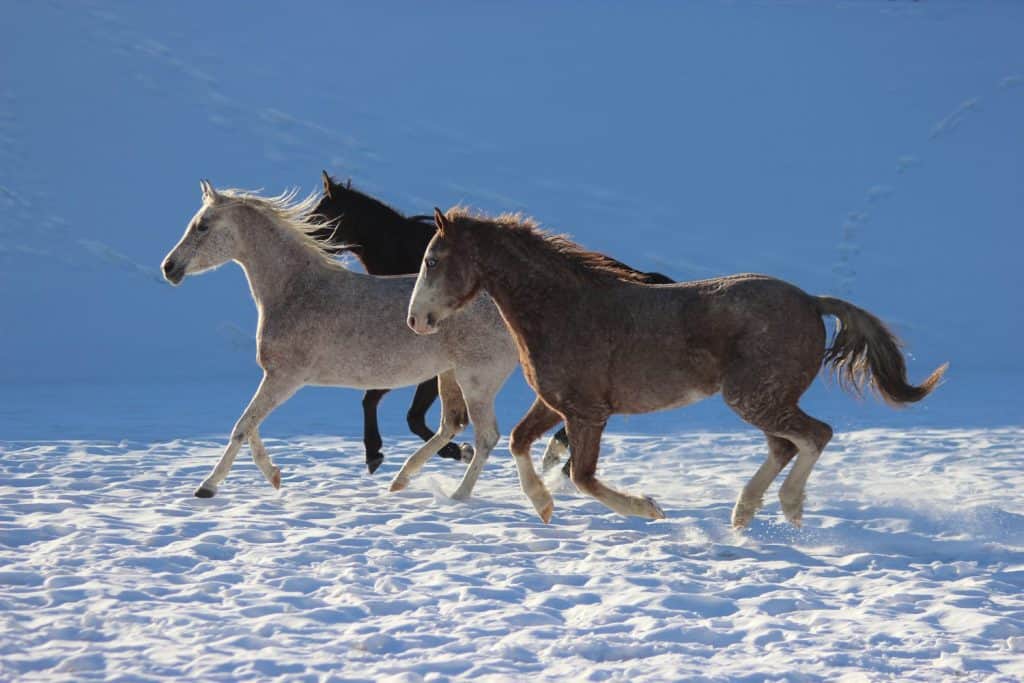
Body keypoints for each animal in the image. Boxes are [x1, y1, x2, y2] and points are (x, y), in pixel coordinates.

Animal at [160, 182, 518, 501]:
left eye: (202, 225)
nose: (169, 267)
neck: (296, 290)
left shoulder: (284, 379)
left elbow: (242, 426)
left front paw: (207, 486)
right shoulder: (277, 379)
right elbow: (251, 427)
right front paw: (274, 476)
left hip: (476, 380)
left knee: (486, 436)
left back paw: (458, 494)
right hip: (449, 376)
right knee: (450, 424)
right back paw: (401, 479)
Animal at [407, 207, 947, 527]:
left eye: (433, 260)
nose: (416, 320)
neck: (562, 309)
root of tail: (812, 302)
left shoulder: (587, 413)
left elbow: (583, 477)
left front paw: (648, 508)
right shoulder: (556, 403)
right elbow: (521, 443)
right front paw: (543, 505)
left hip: (755, 397)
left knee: (815, 435)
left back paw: (788, 508)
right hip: (763, 399)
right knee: (785, 446)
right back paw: (743, 514)